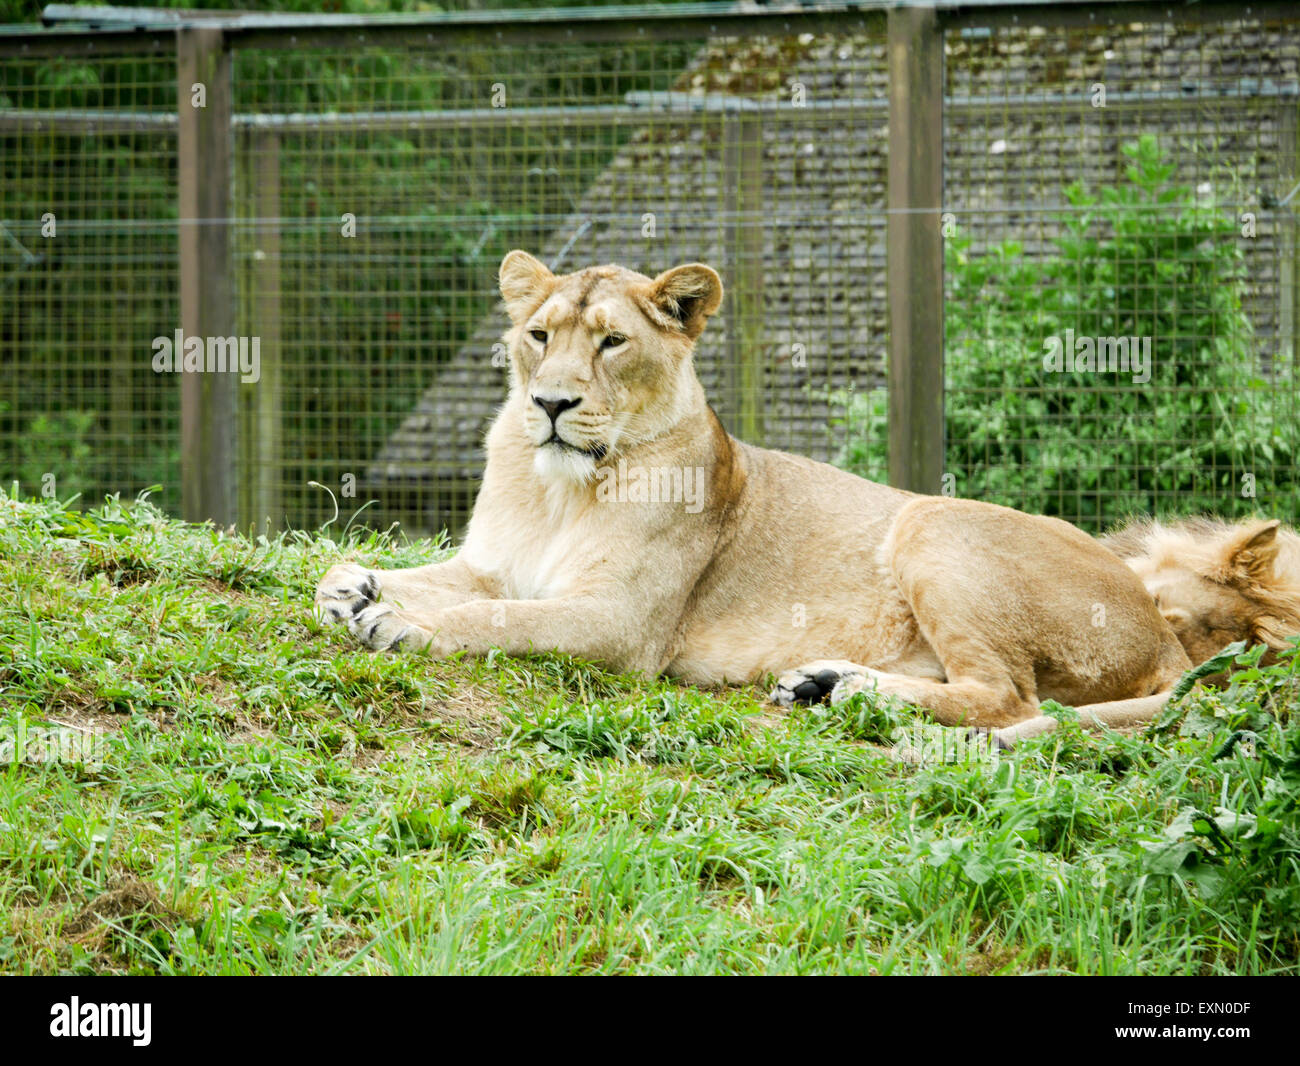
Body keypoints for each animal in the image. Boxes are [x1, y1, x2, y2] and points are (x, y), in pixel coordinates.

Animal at [316, 251, 1191, 746]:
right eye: (539, 335)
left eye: (611, 342)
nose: (552, 404)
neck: (559, 487)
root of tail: (1158, 624)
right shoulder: (495, 565)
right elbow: (437, 580)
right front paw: (349, 586)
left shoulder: (620, 624)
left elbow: (493, 619)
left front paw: (401, 623)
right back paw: (821, 683)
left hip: (933, 519)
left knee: (1006, 698)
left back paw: (851, 691)